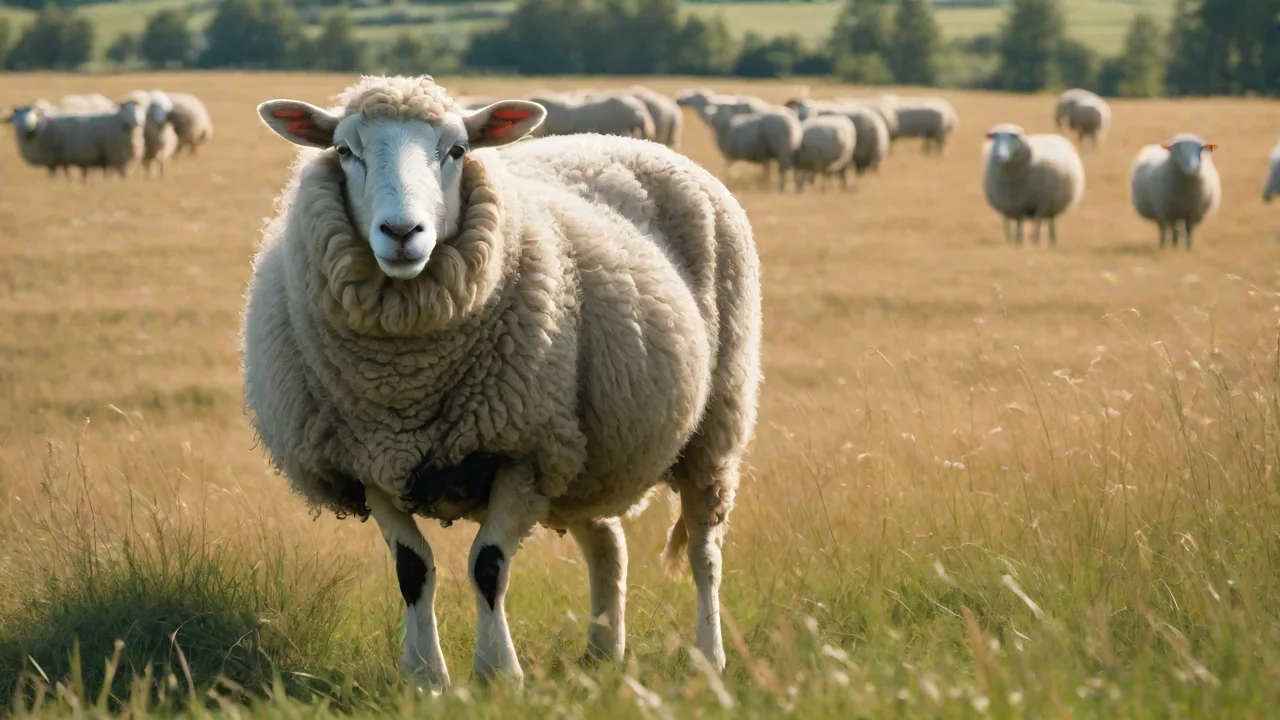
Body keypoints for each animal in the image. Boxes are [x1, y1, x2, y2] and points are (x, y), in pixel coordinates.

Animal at [246, 75, 761, 689]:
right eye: (346, 151)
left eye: (458, 150)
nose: (402, 233)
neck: (404, 388)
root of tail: (627, 140)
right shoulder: (368, 463)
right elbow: (412, 569)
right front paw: (426, 678)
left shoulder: (525, 452)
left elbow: (487, 564)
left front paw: (498, 676)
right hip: (588, 453)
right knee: (608, 543)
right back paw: (602, 652)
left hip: (715, 423)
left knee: (706, 548)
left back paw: (710, 658)